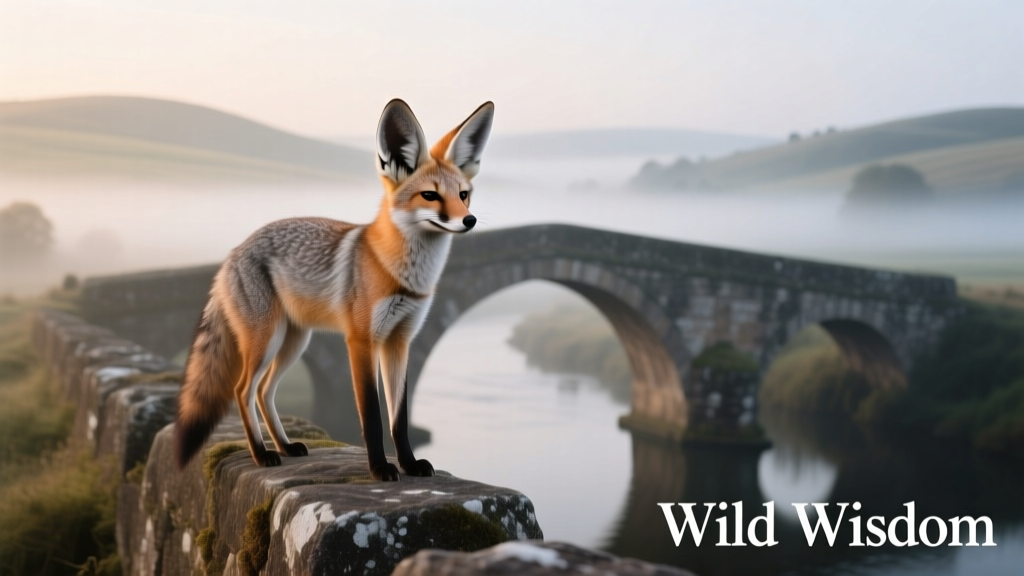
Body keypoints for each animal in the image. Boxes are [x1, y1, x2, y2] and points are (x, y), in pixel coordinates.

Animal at [174, 99, 494, 481]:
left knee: (265, 392)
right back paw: (262, 455)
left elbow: (398, 418)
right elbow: (372, 416)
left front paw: (409, 464)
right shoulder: (361, 341)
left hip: (293, 342)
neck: (401, 275)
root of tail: (232, 253)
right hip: (266, 341)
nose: (469, 220)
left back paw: (286, 447)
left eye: (463, 195)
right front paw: (379, 469)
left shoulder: (400, 341)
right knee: (243, 391)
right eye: (429, 196)